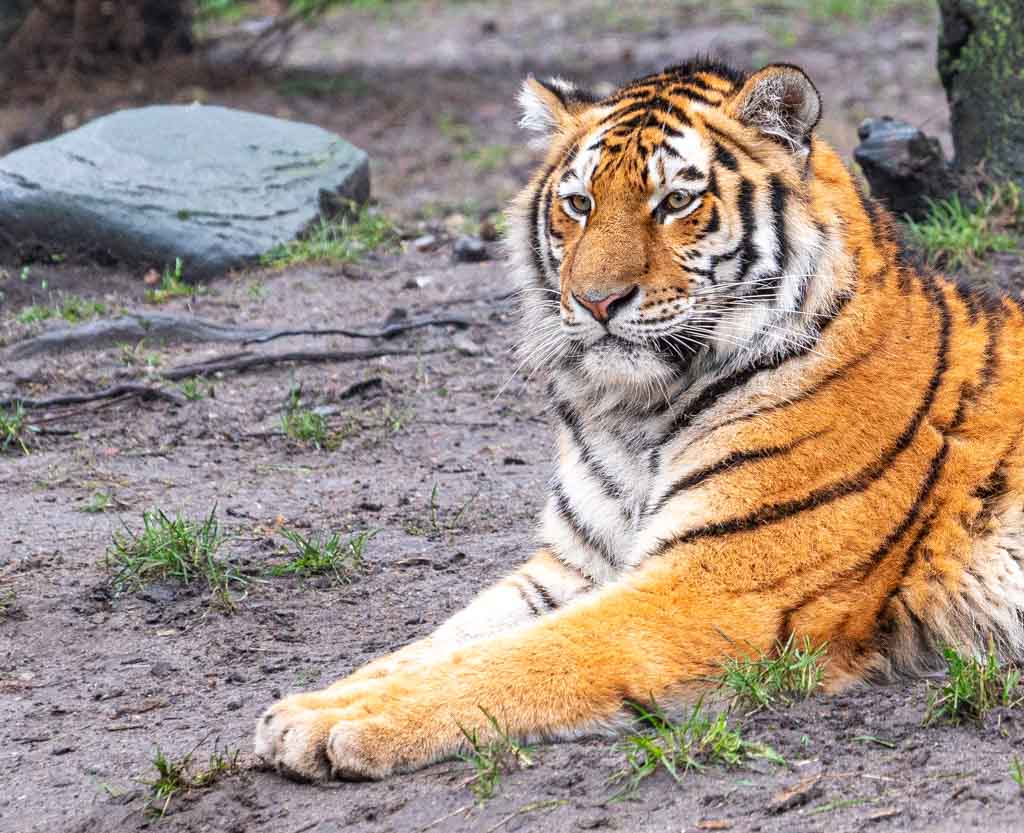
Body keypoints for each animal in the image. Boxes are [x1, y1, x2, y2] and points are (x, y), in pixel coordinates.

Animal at [254, 57, 1024, 781]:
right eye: (578, 203)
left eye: (676, 201)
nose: (597, 301)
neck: (635, 414)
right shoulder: (572, 565)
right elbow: (438, 641)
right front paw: (316, 700)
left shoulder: (710, 585)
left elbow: (520, 657)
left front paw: (333, 721)